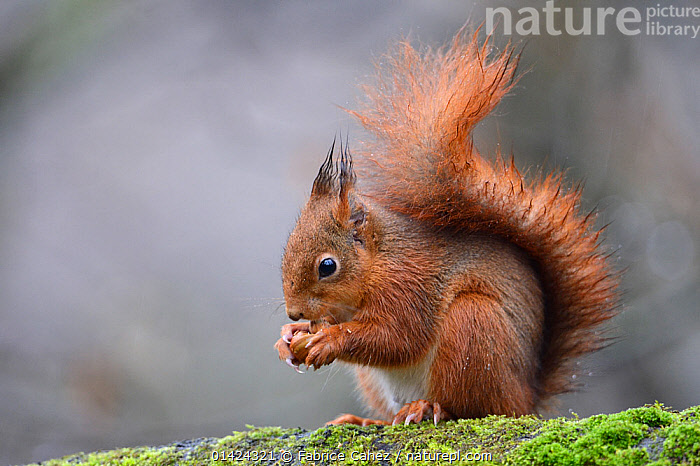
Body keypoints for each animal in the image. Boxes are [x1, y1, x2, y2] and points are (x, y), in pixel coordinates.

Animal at [274, 29, 618, 426]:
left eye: (327, 266)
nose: (294, 312)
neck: (378, 262)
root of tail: (528, 398)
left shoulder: (409, 287)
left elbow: (397, 338)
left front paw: (328, 340)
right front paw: (288, 336)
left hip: (473, 330)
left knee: (474, 408)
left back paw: (428, 407)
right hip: (377, 381)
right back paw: (368, 420)